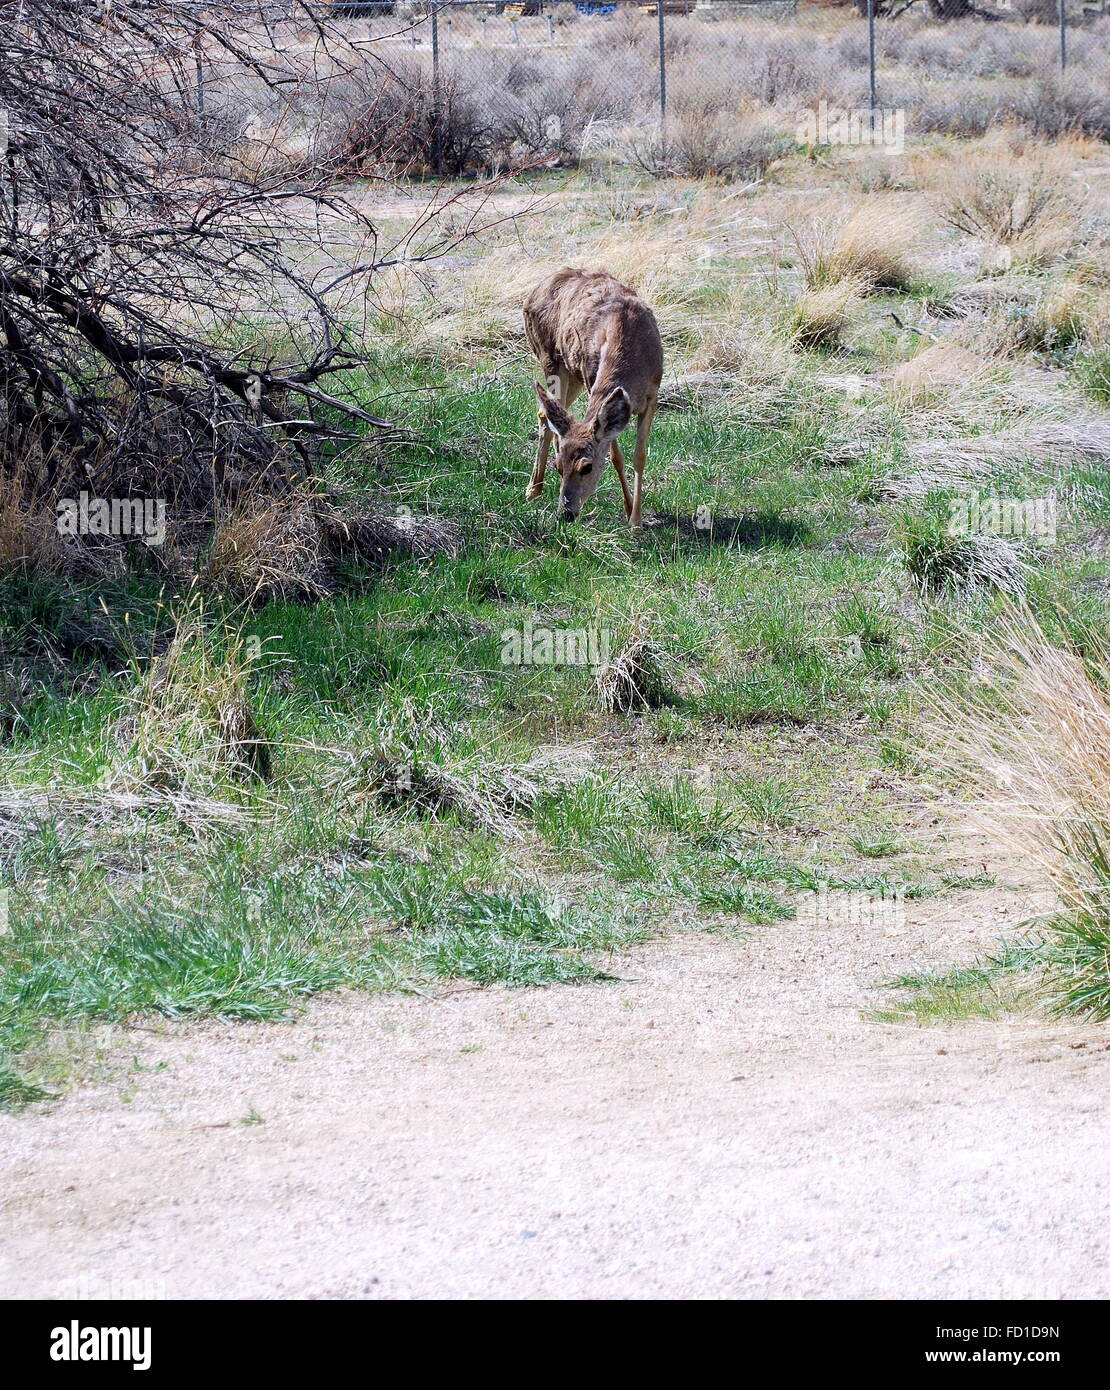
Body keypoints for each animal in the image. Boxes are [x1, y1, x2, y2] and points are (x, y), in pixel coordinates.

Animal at [523, 268, 663, 532]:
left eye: (586, 467)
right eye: (559, 468)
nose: (565, 514)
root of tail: (537, 287)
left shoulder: (653, 394)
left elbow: (639, 456)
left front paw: (636, 521)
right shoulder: (592, 383)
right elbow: (616, 456)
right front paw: (629, 510)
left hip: (571, 375)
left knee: (546, 413)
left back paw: (535, 487)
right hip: (550, 360)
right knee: (546, 414)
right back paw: (532, 489)